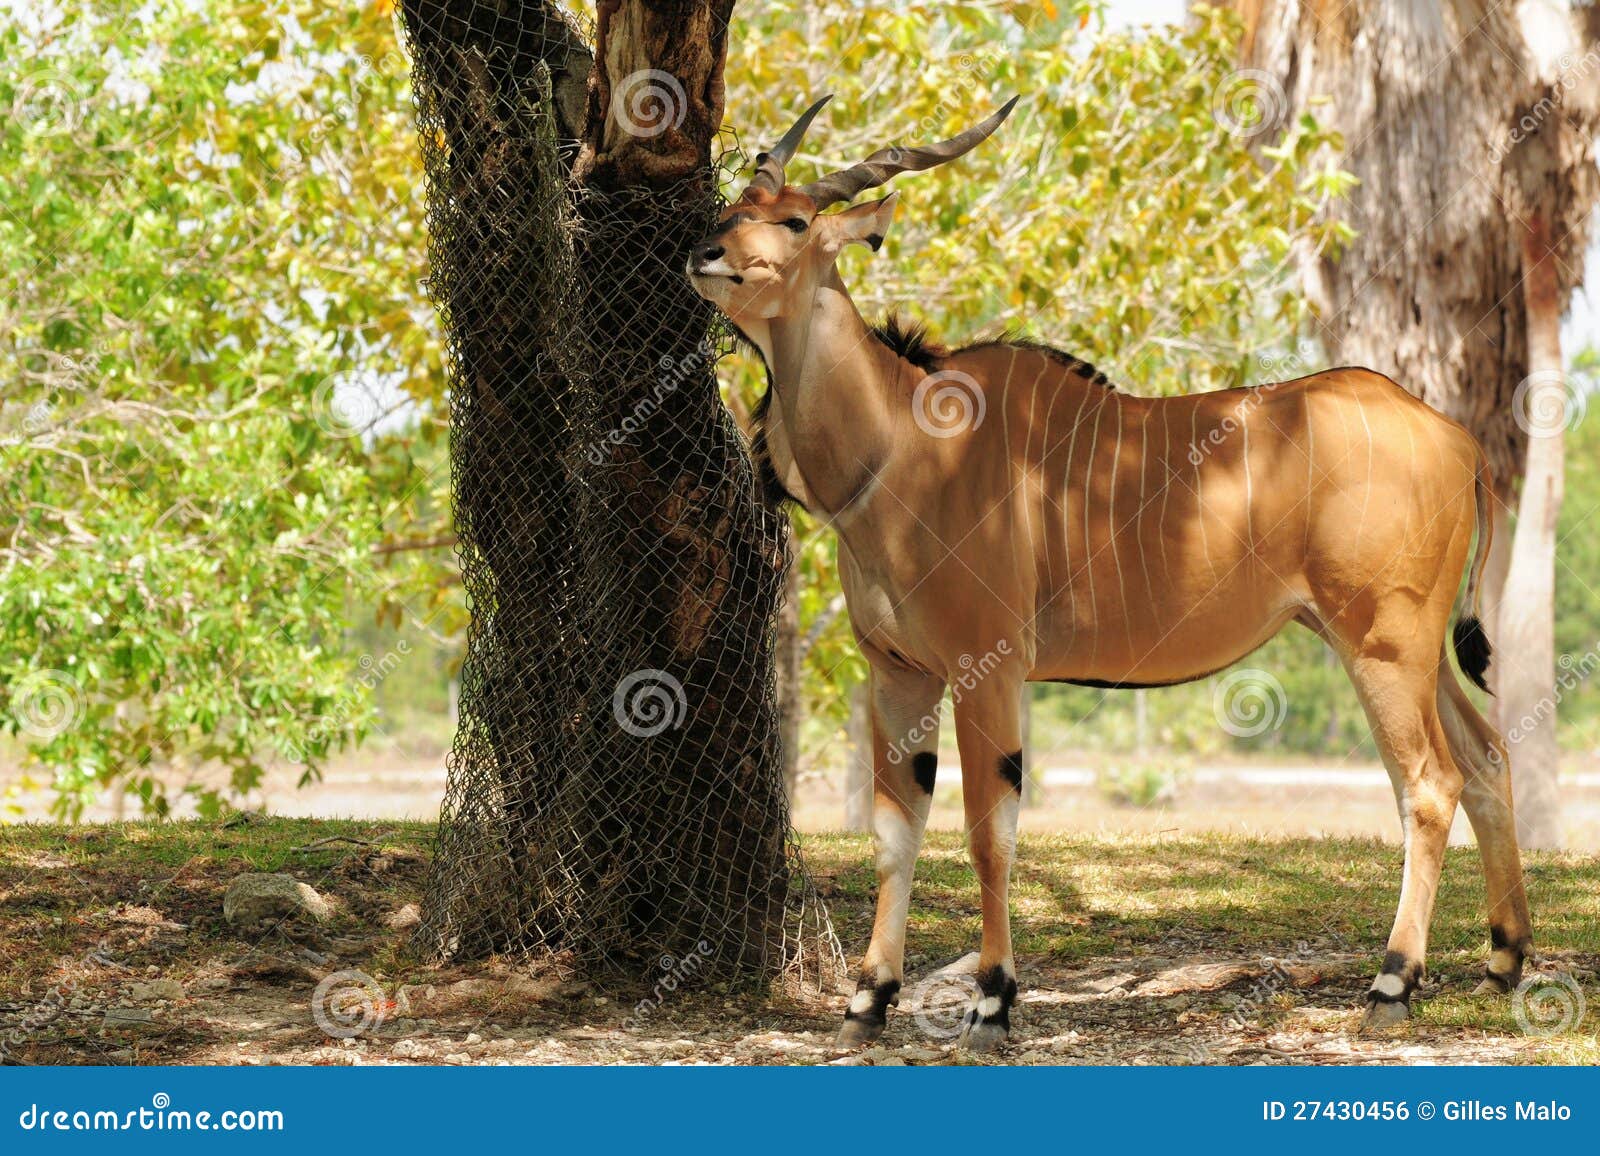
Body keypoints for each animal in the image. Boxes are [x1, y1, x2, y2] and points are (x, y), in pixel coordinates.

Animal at [686, 95, 1532, 1052]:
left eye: (794, 221)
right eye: (735, 209)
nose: (704, 253)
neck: (903, 444)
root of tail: (1458, 439)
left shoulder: (986, 670)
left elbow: (989, 832)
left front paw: (992, 1002)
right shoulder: (897, 674)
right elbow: (895, 832)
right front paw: (869, 999)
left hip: (1382, 644)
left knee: (1430, 782)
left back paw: (1393, 983)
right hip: (1411, 649)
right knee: (1487, 758)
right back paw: (1504, 960)